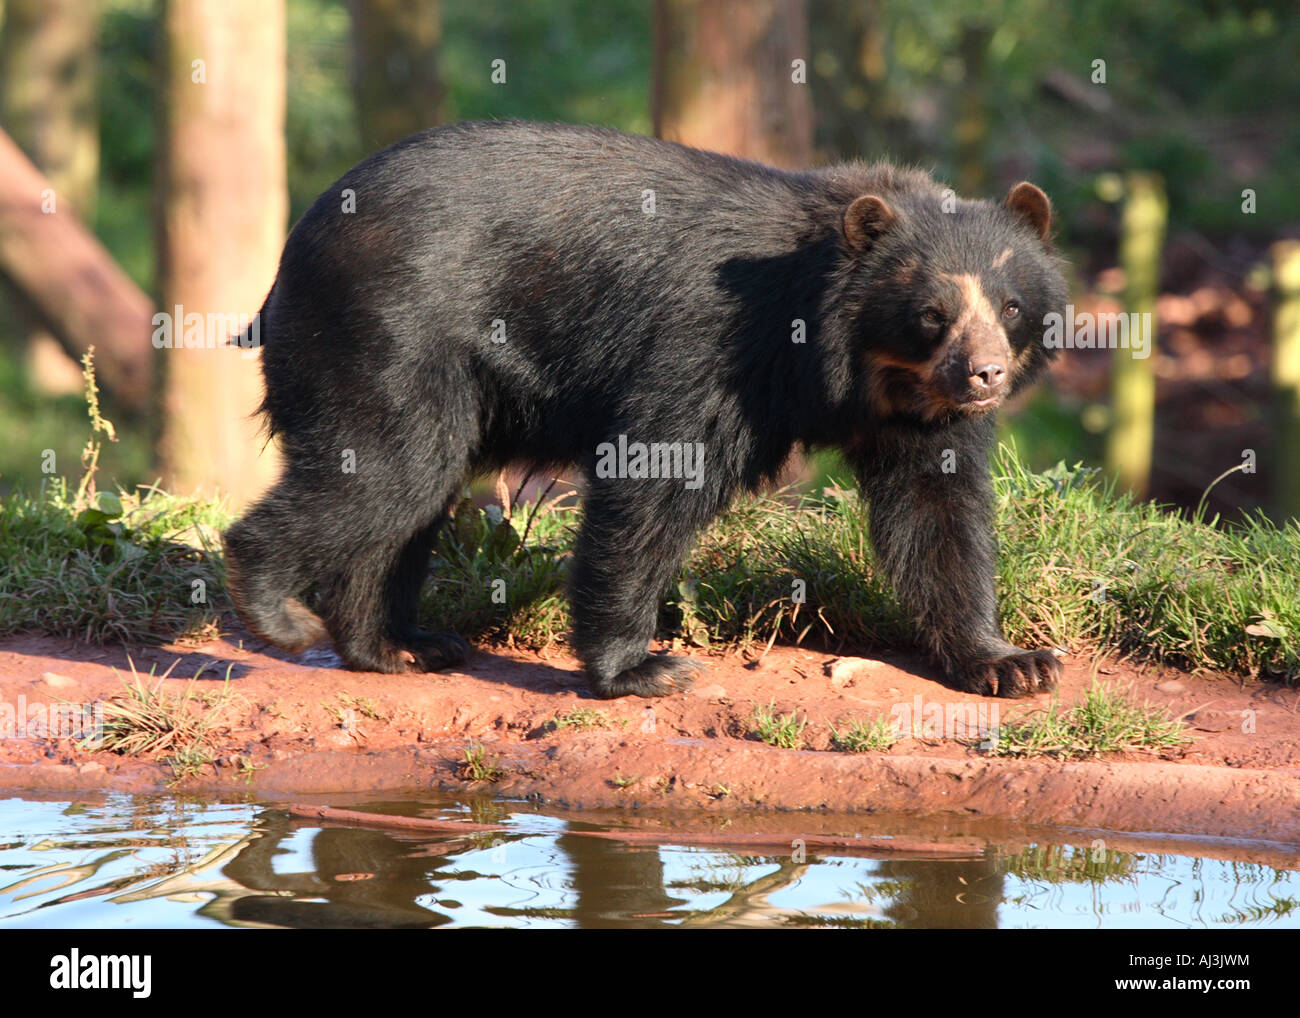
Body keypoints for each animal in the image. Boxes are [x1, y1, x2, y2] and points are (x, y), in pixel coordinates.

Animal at [222, 120, 1067, 700]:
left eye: (1011, 307)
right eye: (931, 314)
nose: (985, 376)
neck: (854, 364)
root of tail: (299, 240)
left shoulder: (921, 418)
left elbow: (937, 511)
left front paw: (1010, 664)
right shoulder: (710, 349)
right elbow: (655, 480)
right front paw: (642, 667)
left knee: (405, 498)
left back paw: (399, 648)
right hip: (386, 336)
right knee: (386, 472)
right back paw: (278, 611)